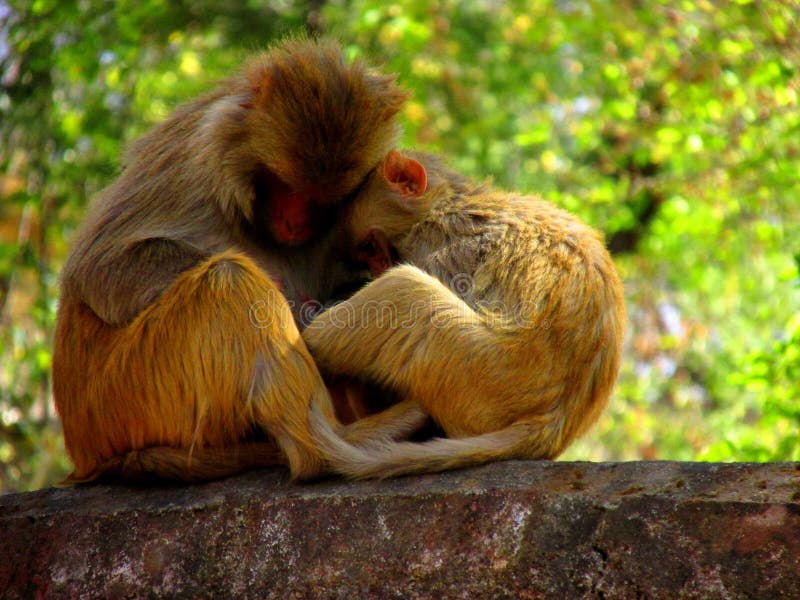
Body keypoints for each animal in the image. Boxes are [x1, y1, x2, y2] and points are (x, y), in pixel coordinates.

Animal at [52, 37, 415, 484]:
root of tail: (87, 452)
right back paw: (335, 445)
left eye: (323, 200)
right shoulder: (189, 159)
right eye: (285, 185)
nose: (294, 223)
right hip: (127, 395)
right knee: (228, 278)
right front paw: (296, 304)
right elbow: (100, 268)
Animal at [301, 149, 626, 478]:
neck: (450, 202)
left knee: (404, 287)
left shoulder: (437, 245)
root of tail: (553, 425)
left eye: (371, 247)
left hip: (479, 368)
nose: (378, 267)